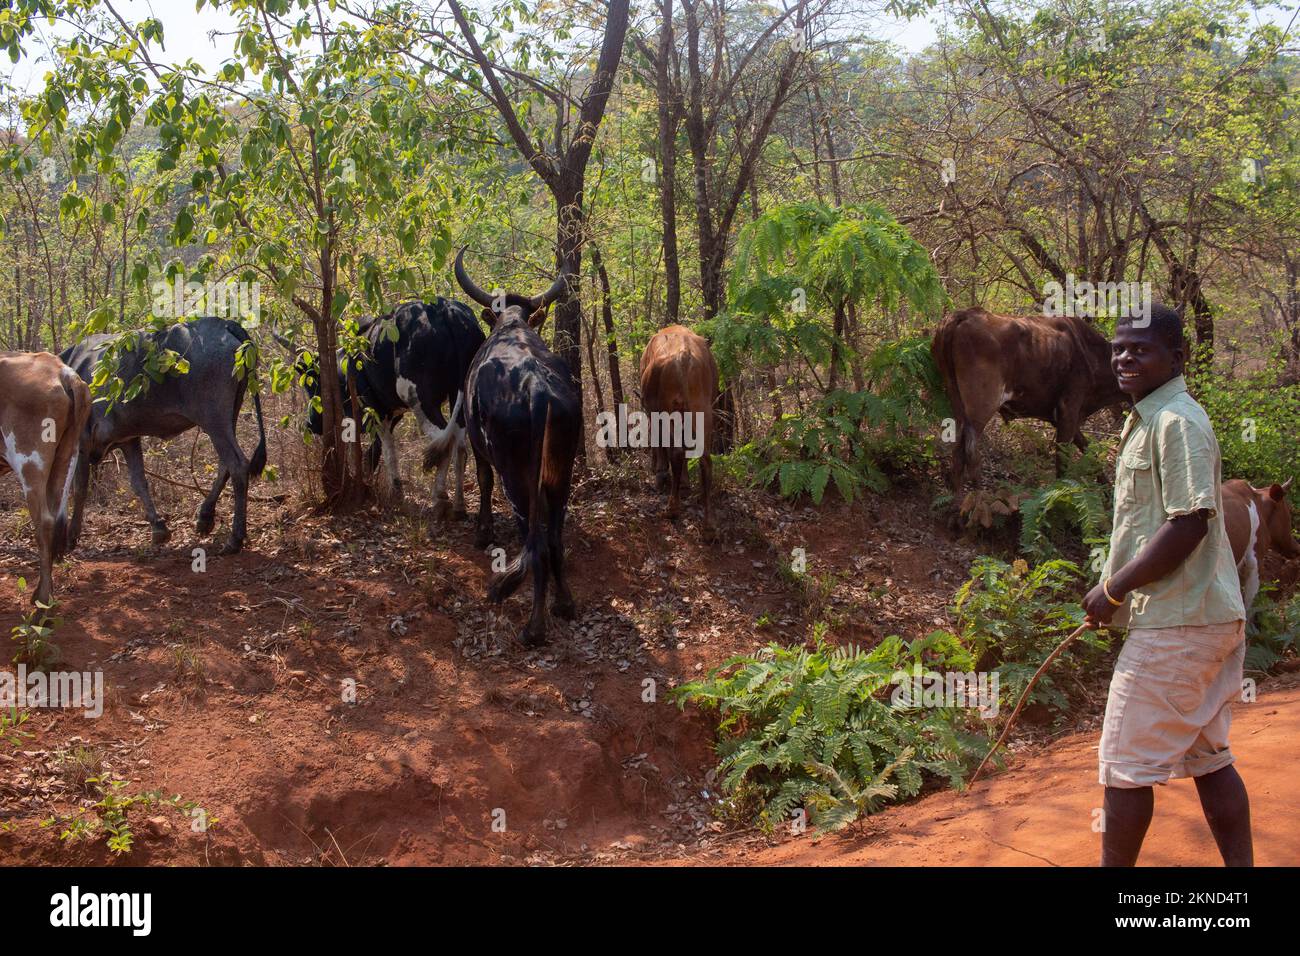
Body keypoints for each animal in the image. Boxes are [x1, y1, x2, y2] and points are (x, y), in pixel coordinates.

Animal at [60, 316, 267, 555]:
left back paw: (235, 538)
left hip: (214, 422)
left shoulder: (82, 442)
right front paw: (159, 528)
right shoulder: (128, 441)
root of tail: (225, 324)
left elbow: (78, 488)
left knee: (237, 465)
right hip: (228, 418)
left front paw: (71, 536)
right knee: (225, 465)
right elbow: (139, 482)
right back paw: (205, 517)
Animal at [275, 299, 485, 516]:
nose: (311, 424)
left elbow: (384, 450)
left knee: (443, 439)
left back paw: (440, 498)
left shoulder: (375, 411)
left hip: (421, 400)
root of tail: (445, 309)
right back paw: (459, 505)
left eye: (312, 384)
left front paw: (396, 491)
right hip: (458, 397)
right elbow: (377, 451)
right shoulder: (392, 413)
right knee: (460, 445)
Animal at [453, 248, 579, 646]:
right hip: (561, 474)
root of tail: (537, 389)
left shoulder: (477, 444)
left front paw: (483, 532)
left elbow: (483, 480)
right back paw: (564, 604)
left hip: (517, 477)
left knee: (535, 543)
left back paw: (534, 627)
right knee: (553, 539)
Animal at [639, 324, 719, 539]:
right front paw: (684, 483)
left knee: (676, 452)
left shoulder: (652, 411)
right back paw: (709, 526)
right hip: (703, 408)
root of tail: (684, 356)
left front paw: (659, 473)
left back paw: (671, 509)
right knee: (705, 459)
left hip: (670, 408)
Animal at [931, 307, 1127, 492]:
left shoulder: (1065, 418)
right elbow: (1063, 462)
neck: (1092, 353)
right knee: (969, 451)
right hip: (982, 407)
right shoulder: (1068, 410)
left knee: (957, 452)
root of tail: (965, 314)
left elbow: (1088, 452)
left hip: (957, 404)